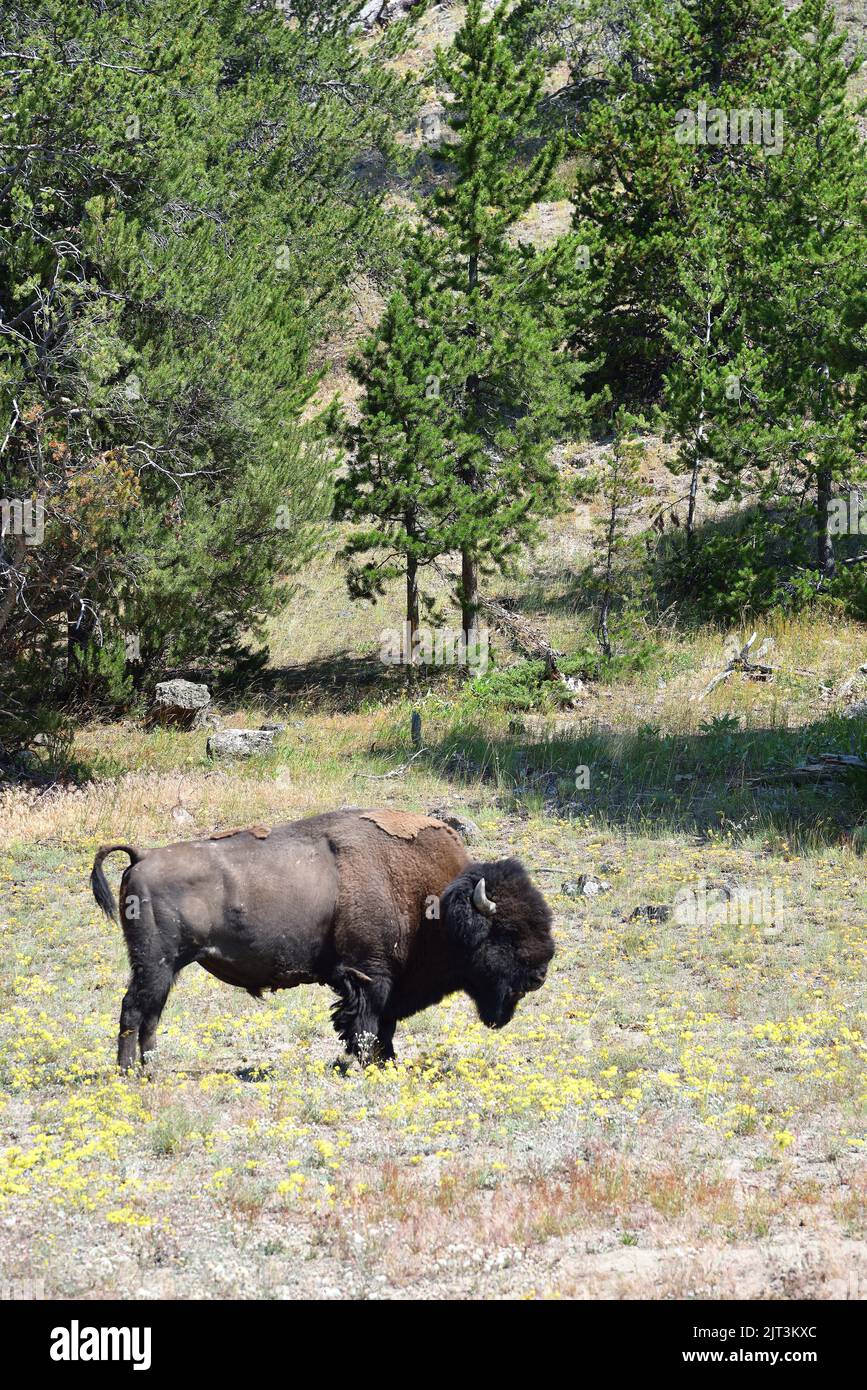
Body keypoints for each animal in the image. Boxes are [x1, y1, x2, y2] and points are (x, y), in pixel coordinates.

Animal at [90, 808, 554, 1070]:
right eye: (506, 932)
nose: (539, 975)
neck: (435, 905)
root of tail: (142, 857)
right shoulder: (369, 975)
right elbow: (366, 1025)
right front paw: (368, 1064)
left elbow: (383, 1026)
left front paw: (387, 1062)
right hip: (155, 964)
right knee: (134, 1010)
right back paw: (130, 1073)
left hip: (166, 969)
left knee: (150, 1014)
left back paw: (151, 1070)